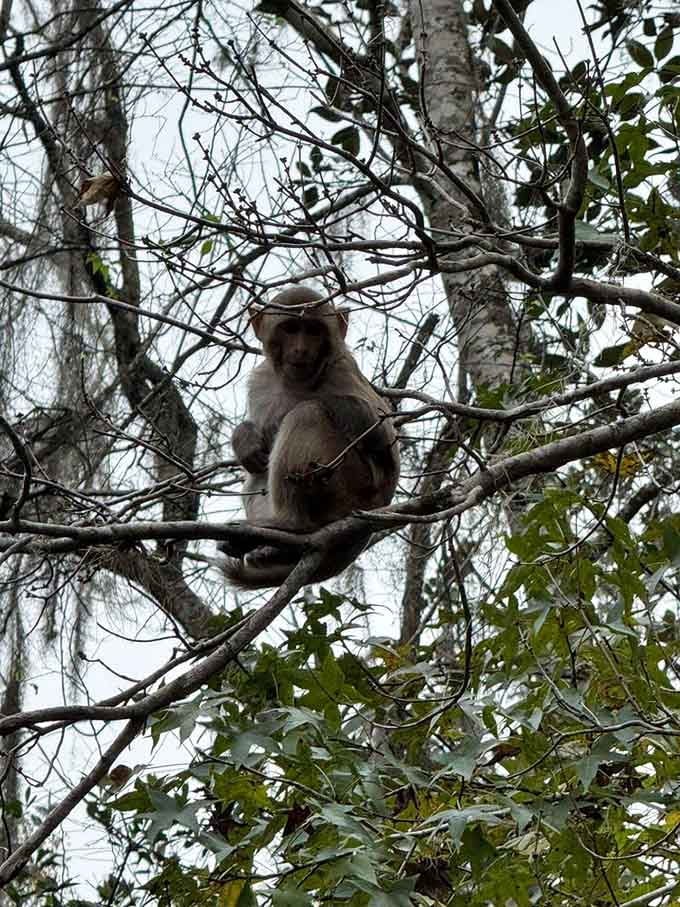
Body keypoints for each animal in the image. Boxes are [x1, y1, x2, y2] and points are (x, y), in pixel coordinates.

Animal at [219, 286, 400, 589]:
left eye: (314, 330)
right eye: (291, 328)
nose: (301, 349)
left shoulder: (342, 368)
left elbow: (383, 437)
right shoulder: (261, 379)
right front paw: (245, 437)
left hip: (350, 486)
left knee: (308, 414)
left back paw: (291, 524)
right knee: (258, 469)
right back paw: (272, 549)